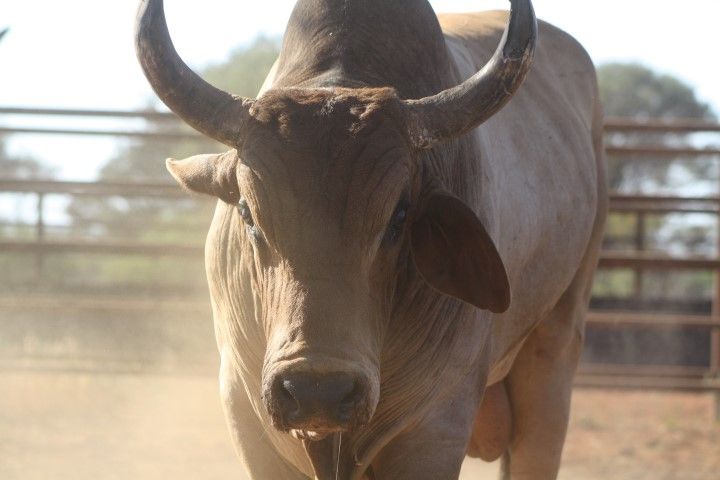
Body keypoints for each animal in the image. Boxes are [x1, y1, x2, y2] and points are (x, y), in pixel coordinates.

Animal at [135, 0, 606, 478]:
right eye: (247, 212)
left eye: (399, 216)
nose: (317, 391)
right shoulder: (247, 418)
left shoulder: (433, 427)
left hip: (555, 352)